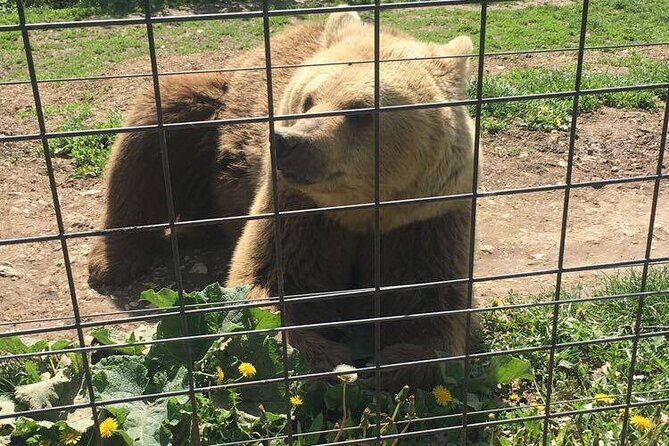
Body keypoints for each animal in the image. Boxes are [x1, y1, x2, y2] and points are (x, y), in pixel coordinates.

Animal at [88, 10, 476, 389]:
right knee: (153, 128)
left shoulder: (424, 217)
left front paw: (392, 365)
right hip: (214, 115)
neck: (358, 208)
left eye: (360, 111)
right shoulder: (298, 206)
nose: (288, 141)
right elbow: (269, 282)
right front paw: (327, 358)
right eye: (309, 99)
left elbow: (430, 302)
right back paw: (112, 260)